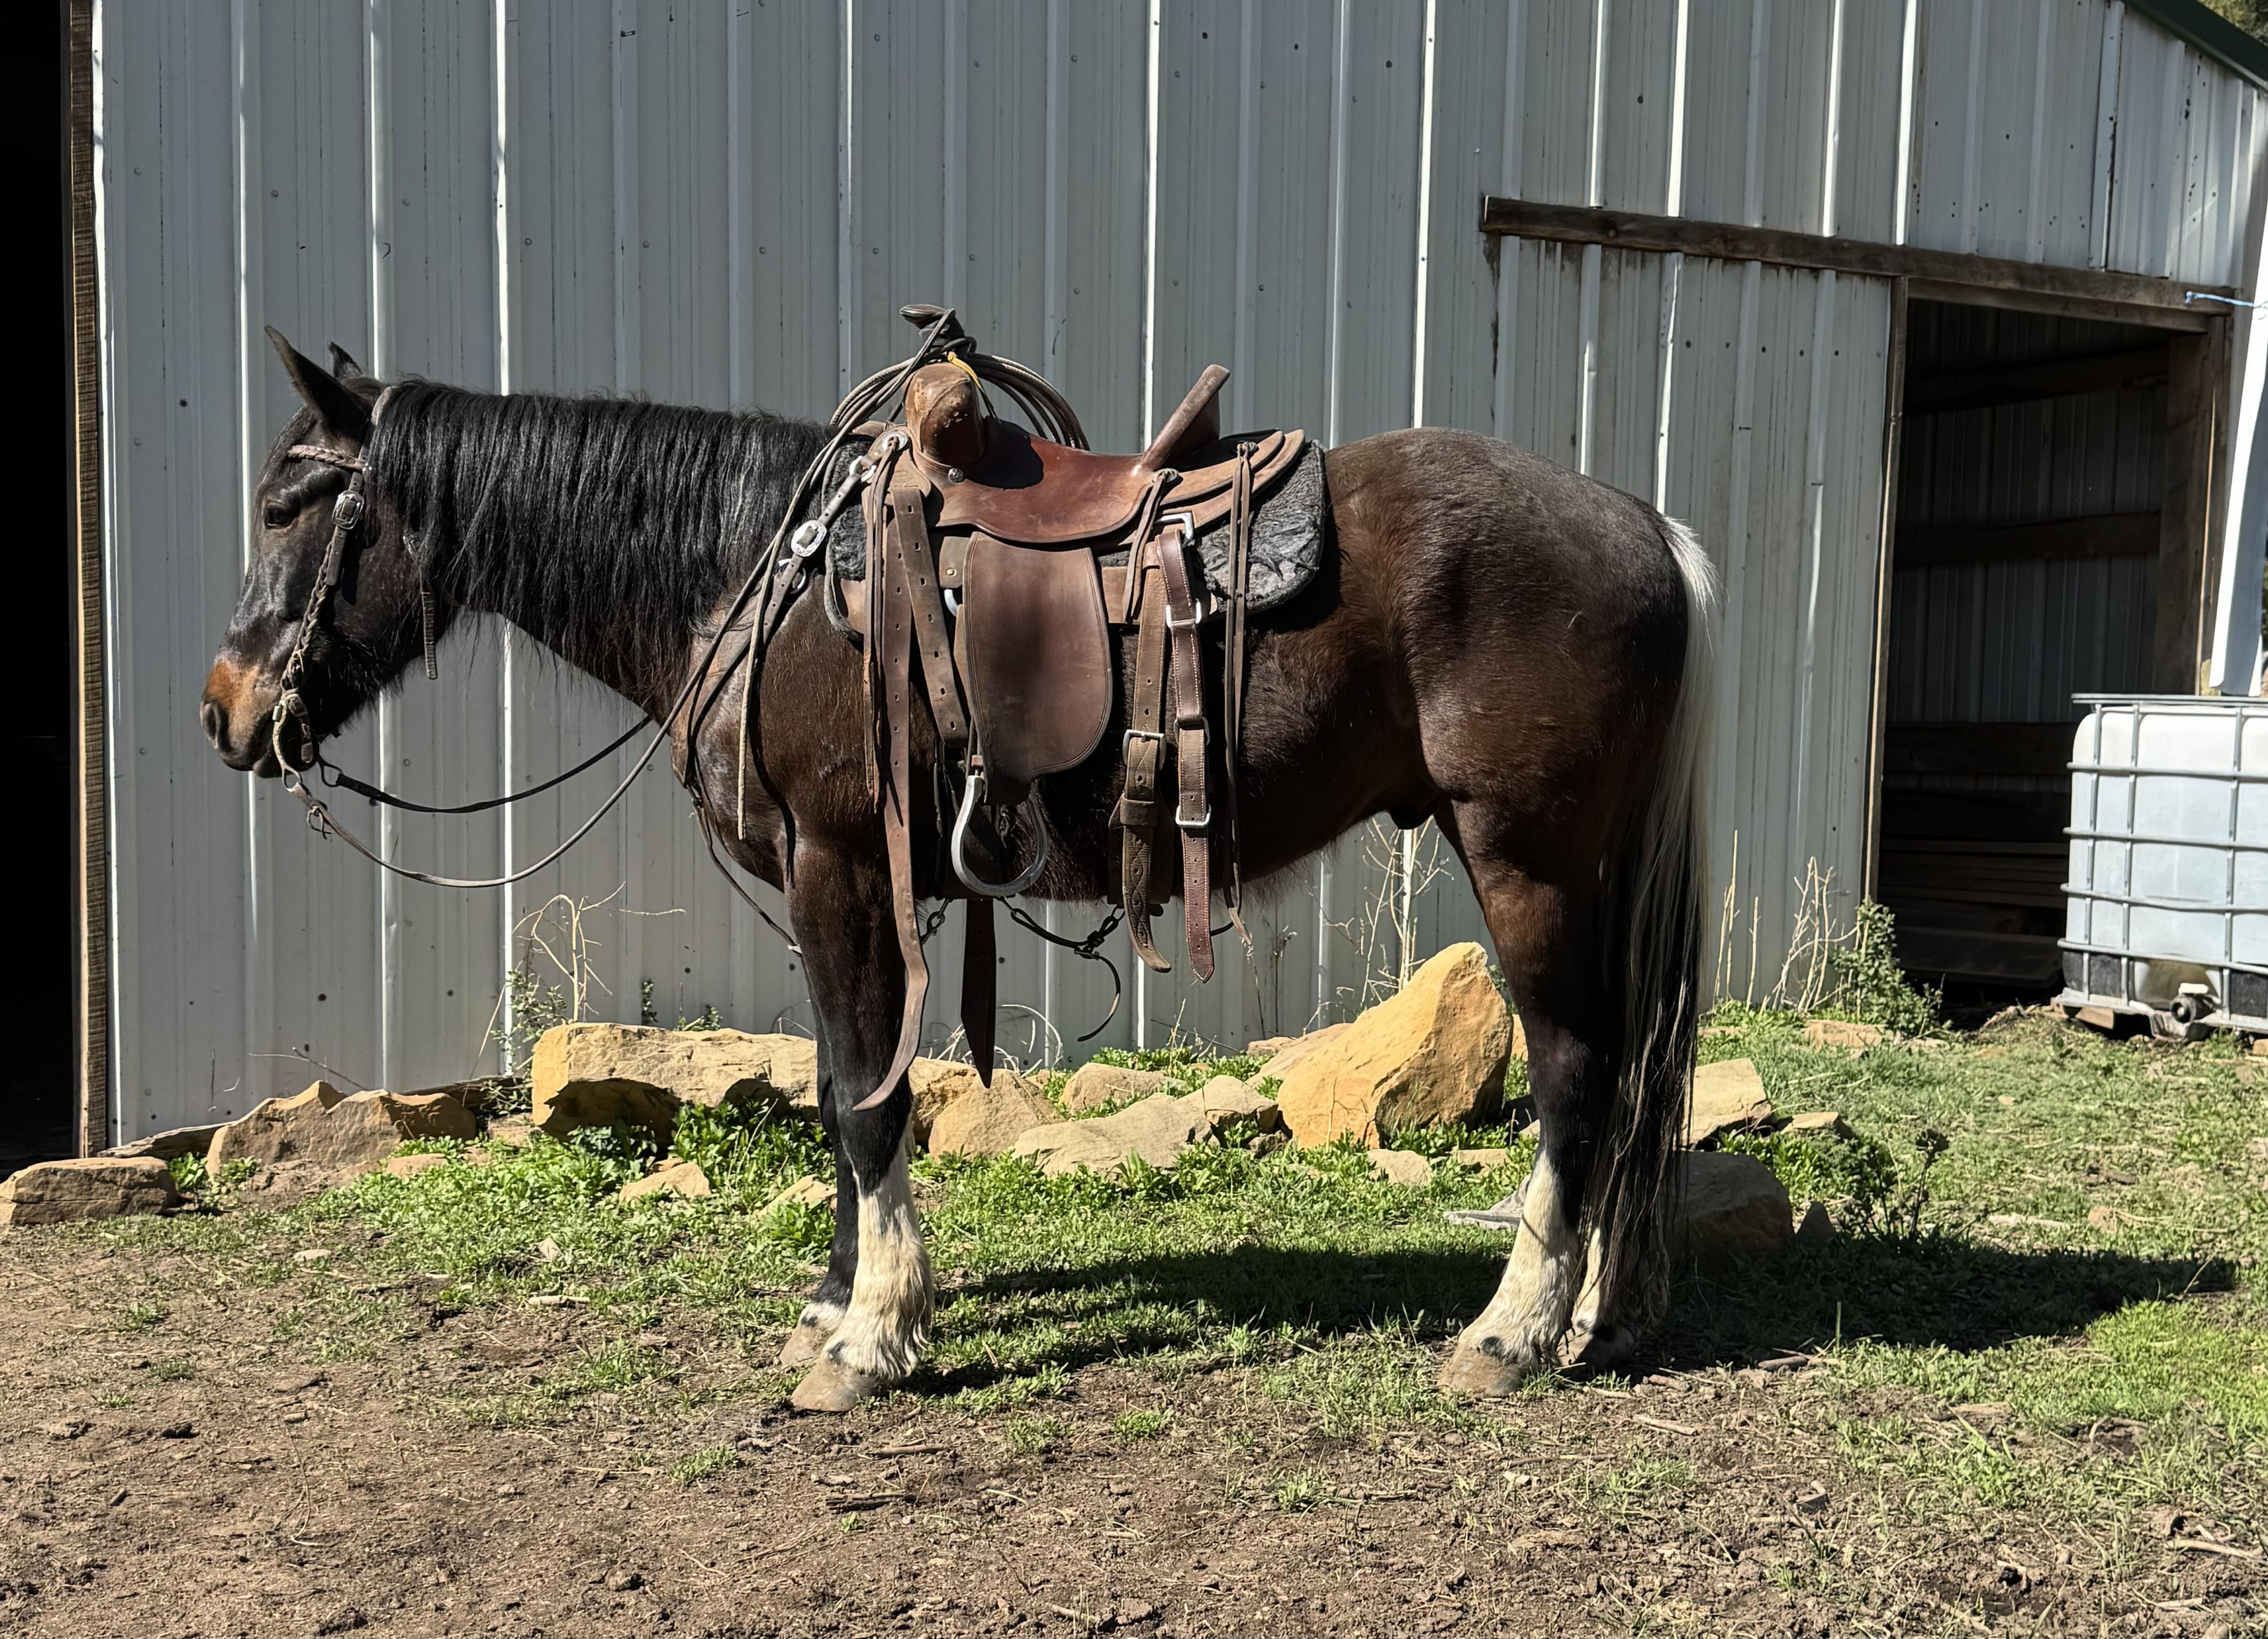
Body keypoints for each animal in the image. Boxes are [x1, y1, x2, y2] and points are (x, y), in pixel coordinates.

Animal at [202, 327, 1715, 1412]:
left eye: (285, 504)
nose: (224, 711)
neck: (760, 581)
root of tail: (1646, 528)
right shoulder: (864, 889)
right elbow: (845, 1084)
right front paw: (844, 1296)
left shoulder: (835, 872)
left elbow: (863, 1098)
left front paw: (870, 1338)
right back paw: (1594, 1311)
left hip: (1525, 860)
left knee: (1576, 1072)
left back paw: (1510, 1330)